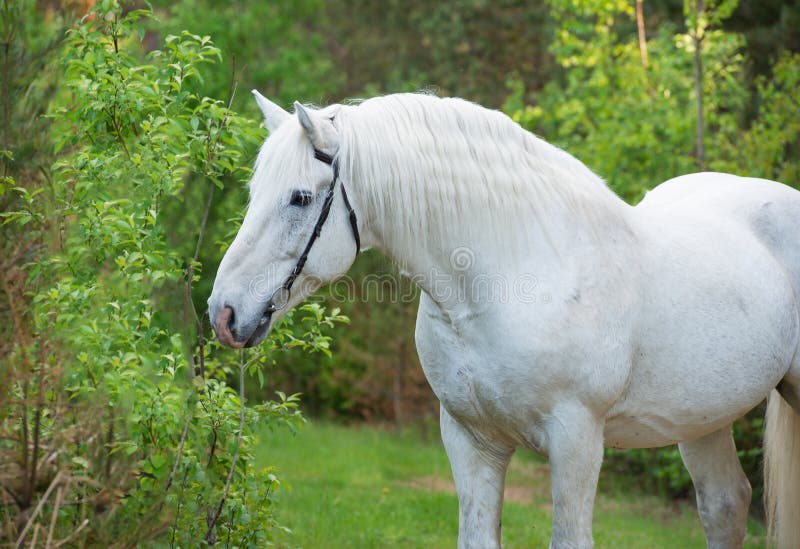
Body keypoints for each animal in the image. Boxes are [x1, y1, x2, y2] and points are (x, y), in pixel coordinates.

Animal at [207, 91, 800, 549]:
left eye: (300, 197)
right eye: (254, 191)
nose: (223, 313)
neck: (510, 277)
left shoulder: (577, 440)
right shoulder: (471, 439)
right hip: (703, 420)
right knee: (725, 506)